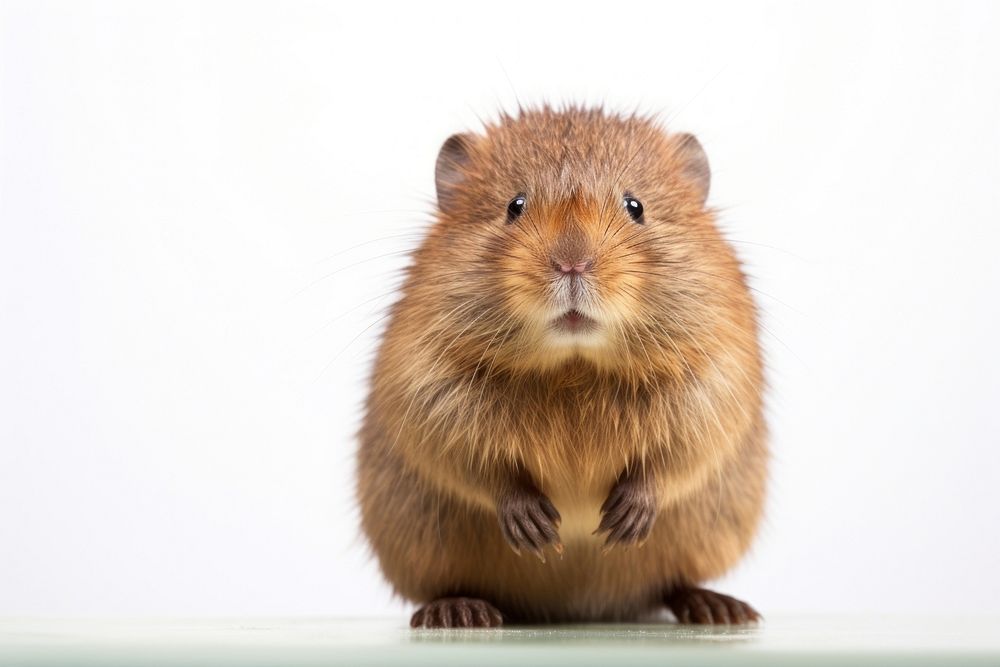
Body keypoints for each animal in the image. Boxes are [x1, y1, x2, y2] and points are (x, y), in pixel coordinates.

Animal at [356, 106, 767, 627]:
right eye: (514, 205)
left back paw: (719, 608)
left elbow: (674, 462)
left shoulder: (715, 381)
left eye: (635, 205)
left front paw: (623, 520)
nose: (573, 263)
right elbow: (477, 468)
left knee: (675, 582)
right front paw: (535, 527)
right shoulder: (428, 389)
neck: (574, 365)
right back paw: (458, 611)